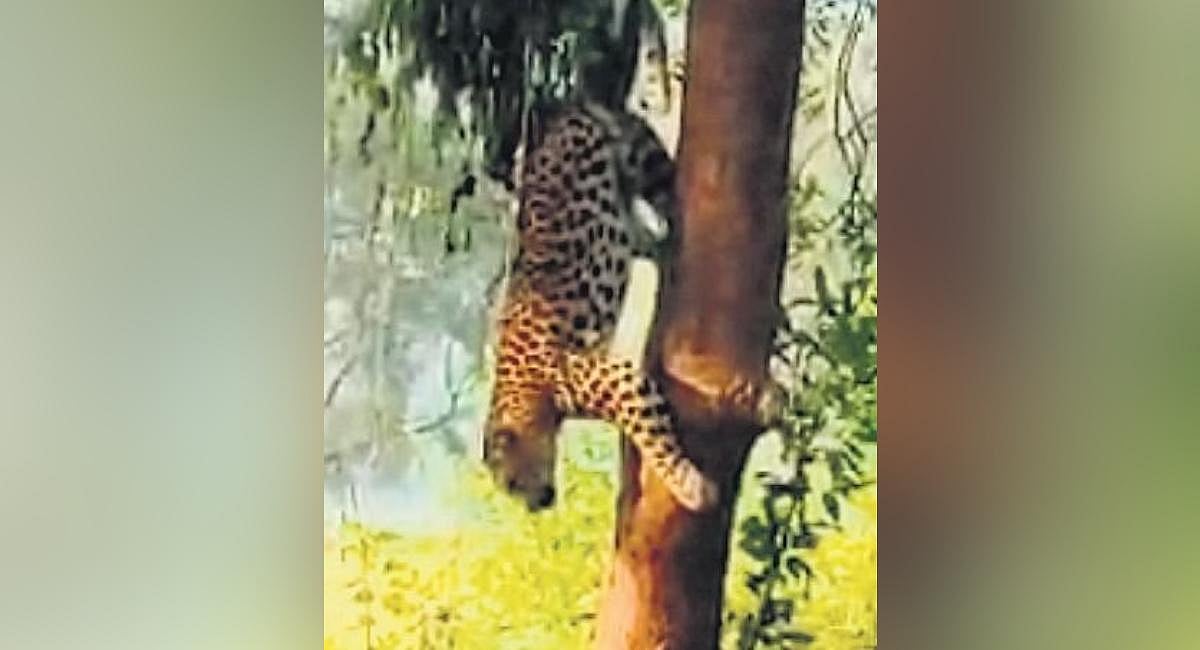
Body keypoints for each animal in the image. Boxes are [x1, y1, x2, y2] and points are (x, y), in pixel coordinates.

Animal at [482, 102, 718, 512]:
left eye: (511, 483)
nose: (537, 506)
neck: (525, 398)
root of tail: (566, 112)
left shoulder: (620, 381)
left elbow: (656, 439)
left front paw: (690, 486)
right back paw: (660, 247)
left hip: (618, 162)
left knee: (656, 182)